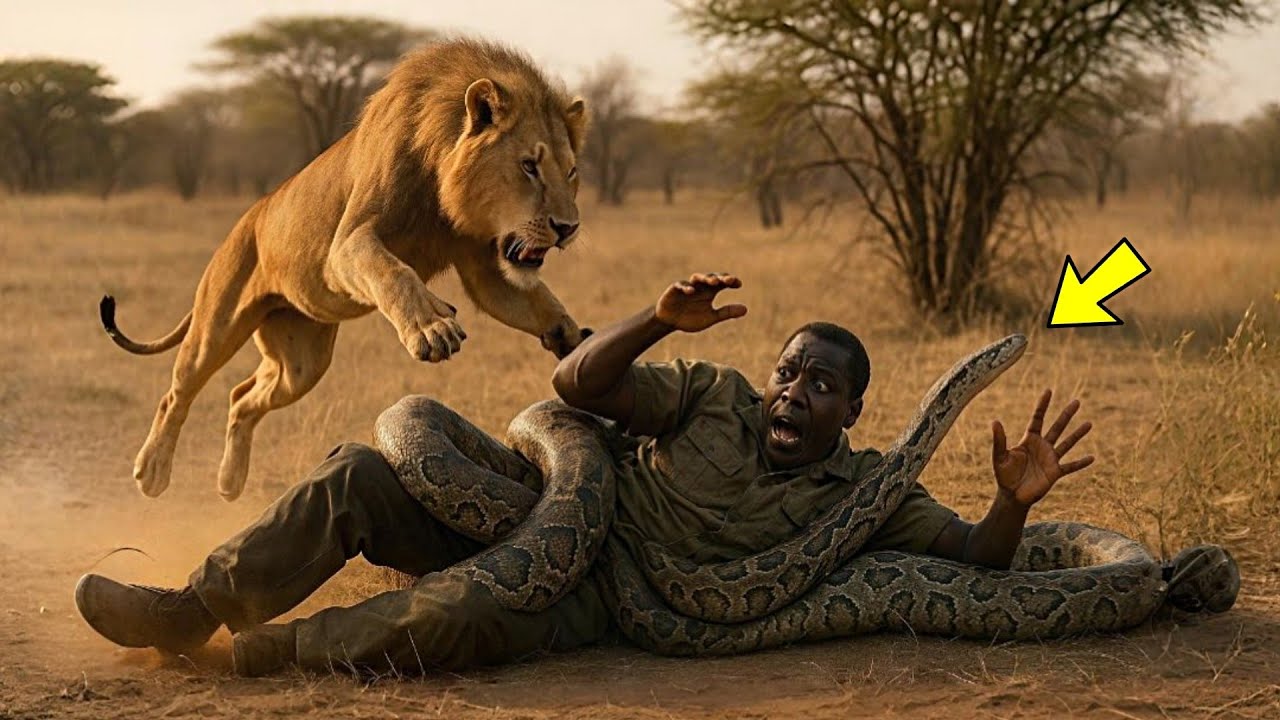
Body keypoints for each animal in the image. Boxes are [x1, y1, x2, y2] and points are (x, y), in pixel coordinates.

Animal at [100, 38, 591, 501]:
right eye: (528, 166)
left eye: (570, 172)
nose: (568, 228)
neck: (442, 172)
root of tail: (247, 219)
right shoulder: (346, 245)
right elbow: (393, 271)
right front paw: (432, 327)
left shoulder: (484, 266)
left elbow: (531, 300)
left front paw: (570, 334)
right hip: (217, 324)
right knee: (176, 393)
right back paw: (152, 471)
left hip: (302, 363)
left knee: (242, 398)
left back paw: (230, 481)